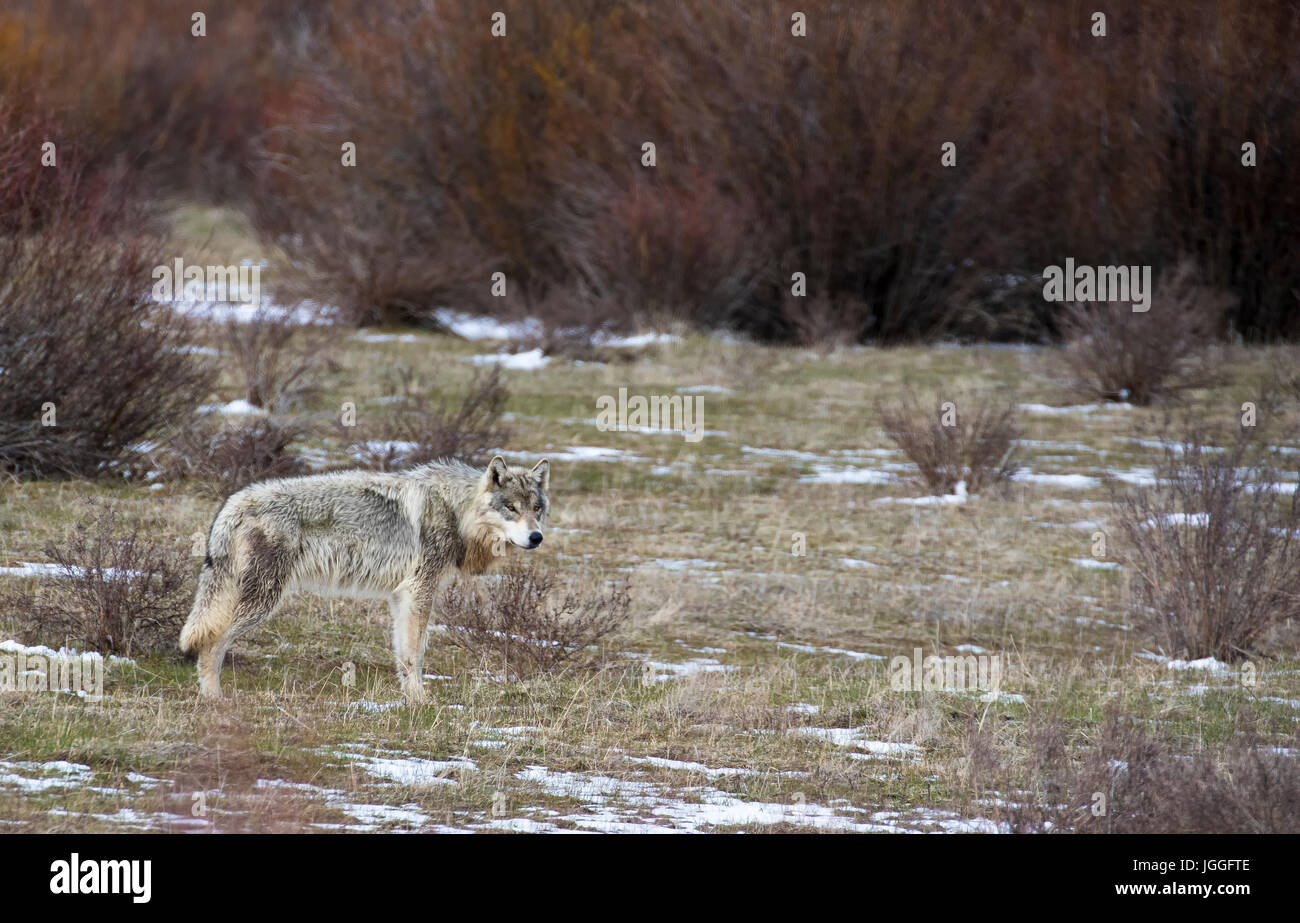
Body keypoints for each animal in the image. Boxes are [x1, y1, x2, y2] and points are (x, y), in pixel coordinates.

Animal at [178, 455, 550, 703]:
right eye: (511, 508)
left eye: (537, 509)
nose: (537, 537)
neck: (457, 510)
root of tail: (235, 502)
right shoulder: (420, 591)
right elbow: (416, 655)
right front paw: (422, 703)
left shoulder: (402, 596)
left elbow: (404, 654)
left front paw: (409, 699)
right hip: (263, 601)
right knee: (212, 644)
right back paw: (214, 698)